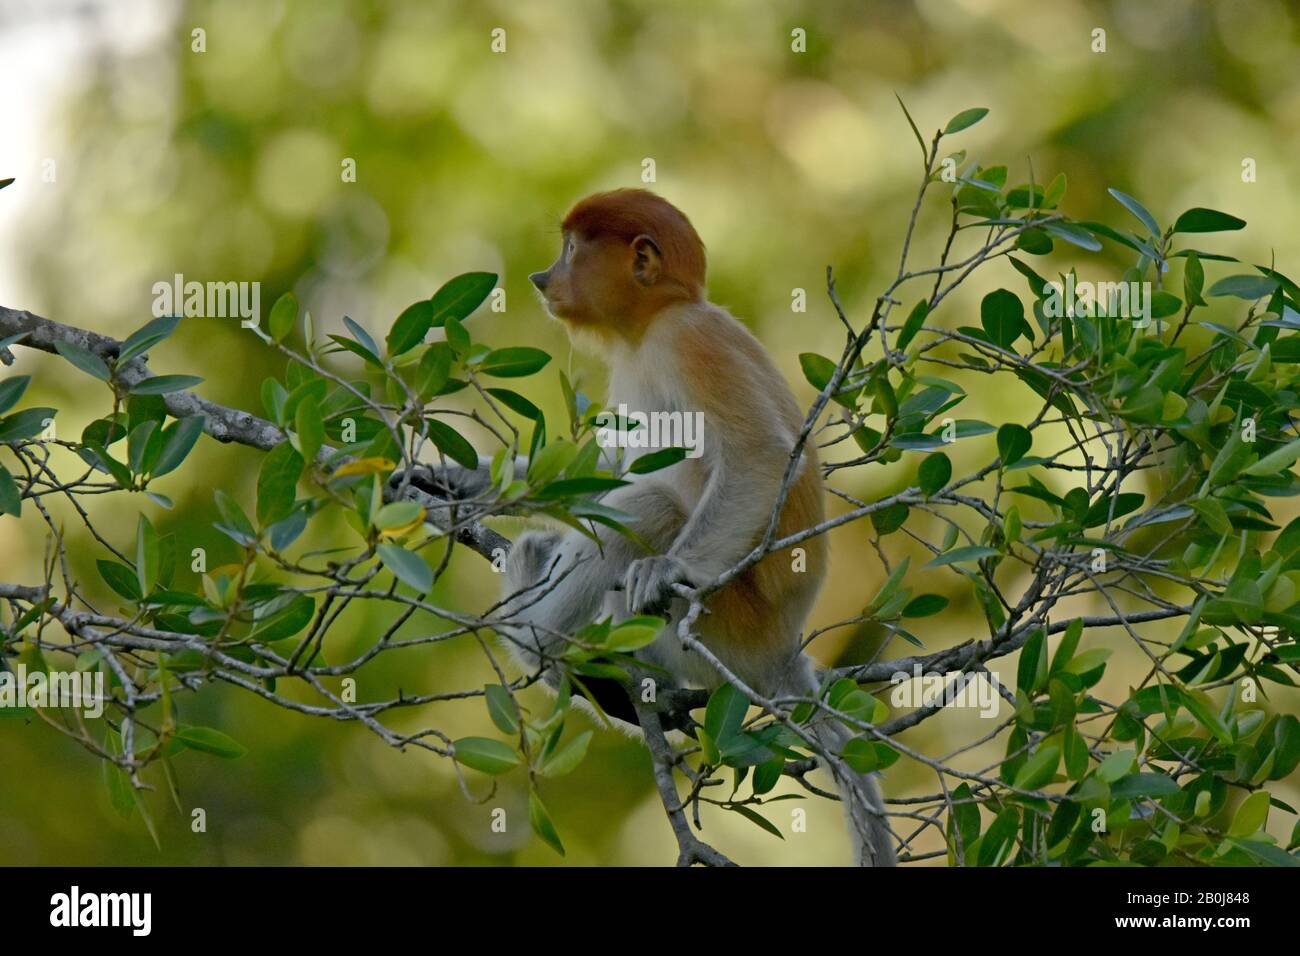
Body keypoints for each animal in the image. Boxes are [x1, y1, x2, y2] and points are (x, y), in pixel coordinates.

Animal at [416, 189, 895, 866]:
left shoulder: (689, 341)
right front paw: (446, 479)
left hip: (721, 627)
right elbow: (601, 472)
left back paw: (535, 638)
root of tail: (781, 645)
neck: (649, 327)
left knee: (652, 507)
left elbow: (758, 454)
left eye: (570, 250)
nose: (542, 278)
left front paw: (666, 569)